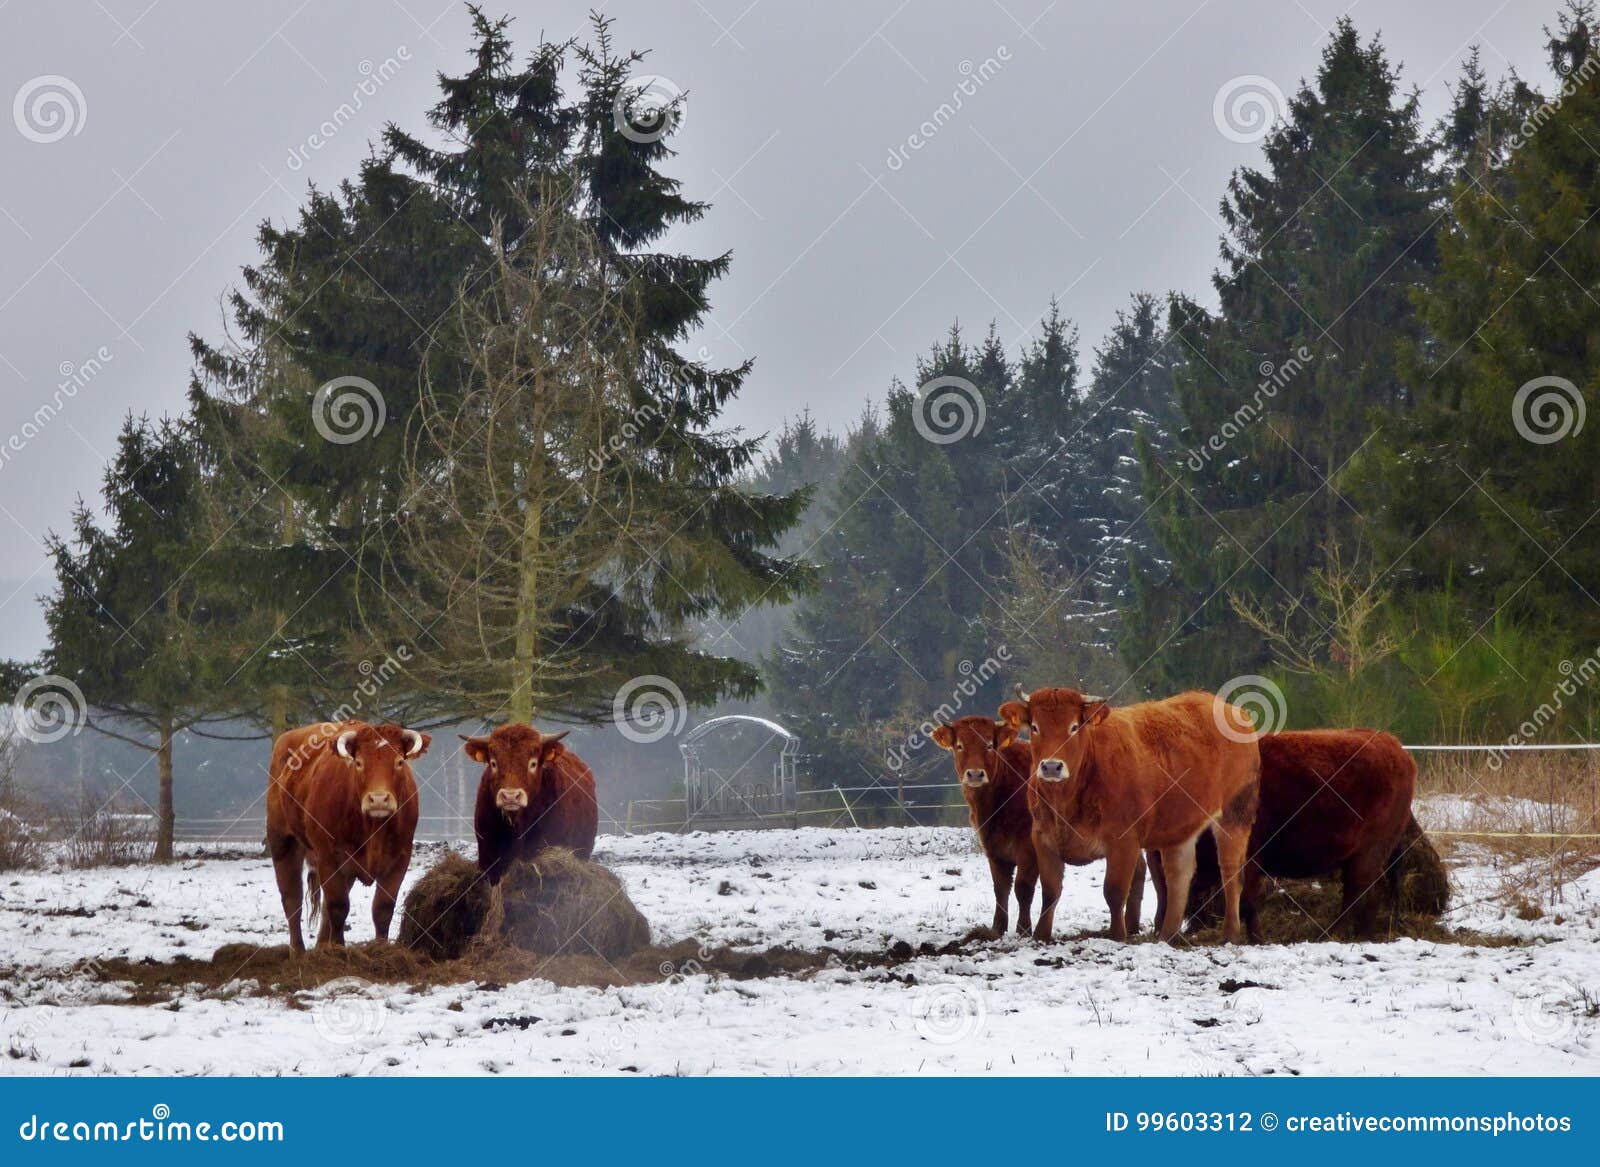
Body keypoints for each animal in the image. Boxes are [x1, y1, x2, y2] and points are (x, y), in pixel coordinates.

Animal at [266, 720, 429, 953]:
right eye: (358, 763)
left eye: (399, 762)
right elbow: (338, 906)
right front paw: (340, 951)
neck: (373, 829)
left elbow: (382, 909)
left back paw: (322, 946)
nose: (378, 799)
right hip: (282, 840)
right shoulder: (328, 857)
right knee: (292, 899)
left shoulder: (400, 859)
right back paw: (298, 952)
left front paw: (381, 951)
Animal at [931, 715, 1150, 936]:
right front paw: (997, 928)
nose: (975, 774)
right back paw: (1132, 925)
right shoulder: (994, 850)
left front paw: (1023, 928)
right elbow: (1000, 889)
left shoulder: (1028, 848)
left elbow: (1023, 888)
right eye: (959, 746)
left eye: (990, 745)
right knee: (1139, 870)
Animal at [998, 687, 1260, 945]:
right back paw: (1167, 936)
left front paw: (1117, 935)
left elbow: (1114, 891)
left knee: (1231, 873)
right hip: (1179, 827)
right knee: (1179, 874)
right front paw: (1040, 936)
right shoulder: (1042, 838)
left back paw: (1230, 934)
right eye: (1035, 727)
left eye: (1074, 727)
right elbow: (1050, 891)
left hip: (1235, 814)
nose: (1052, 766)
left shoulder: (1123, 841)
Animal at [1177, 729, 1418, 941]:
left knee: (1360, 891)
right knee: (1367, 891)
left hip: (1369, 854)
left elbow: (1247, 902)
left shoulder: (1250, 860)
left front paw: (1257, 939)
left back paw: (1335, 934)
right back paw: (1361, 934)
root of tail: (1397, 749)